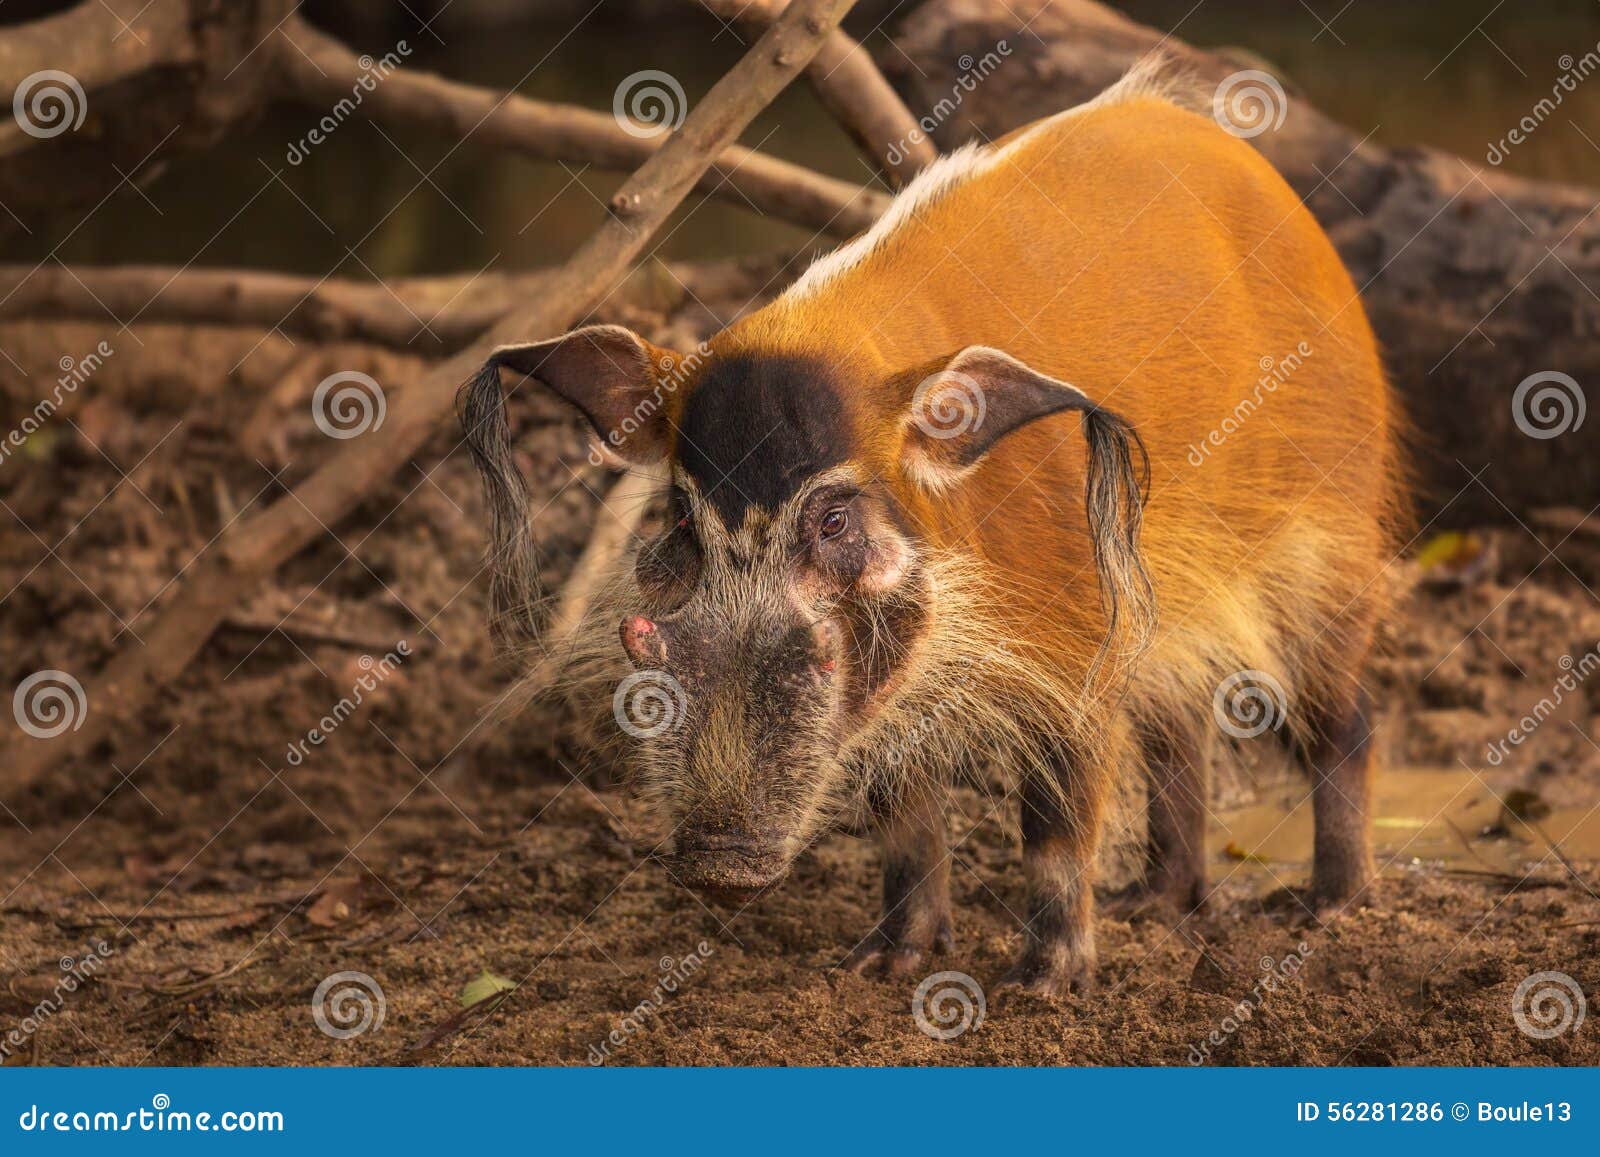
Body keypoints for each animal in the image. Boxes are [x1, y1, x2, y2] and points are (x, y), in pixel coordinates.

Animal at [459, 60, 1404, 997]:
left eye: (835, 517)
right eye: (684, 517)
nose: (720, 866)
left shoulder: (1072, 654)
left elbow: (1057, 824)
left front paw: (1042, 986)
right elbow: (906, 821)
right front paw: (883, 964)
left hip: (1331, 542)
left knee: (1344, 716)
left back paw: (1325, 905)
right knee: (1180, 729)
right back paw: (1153, 904)